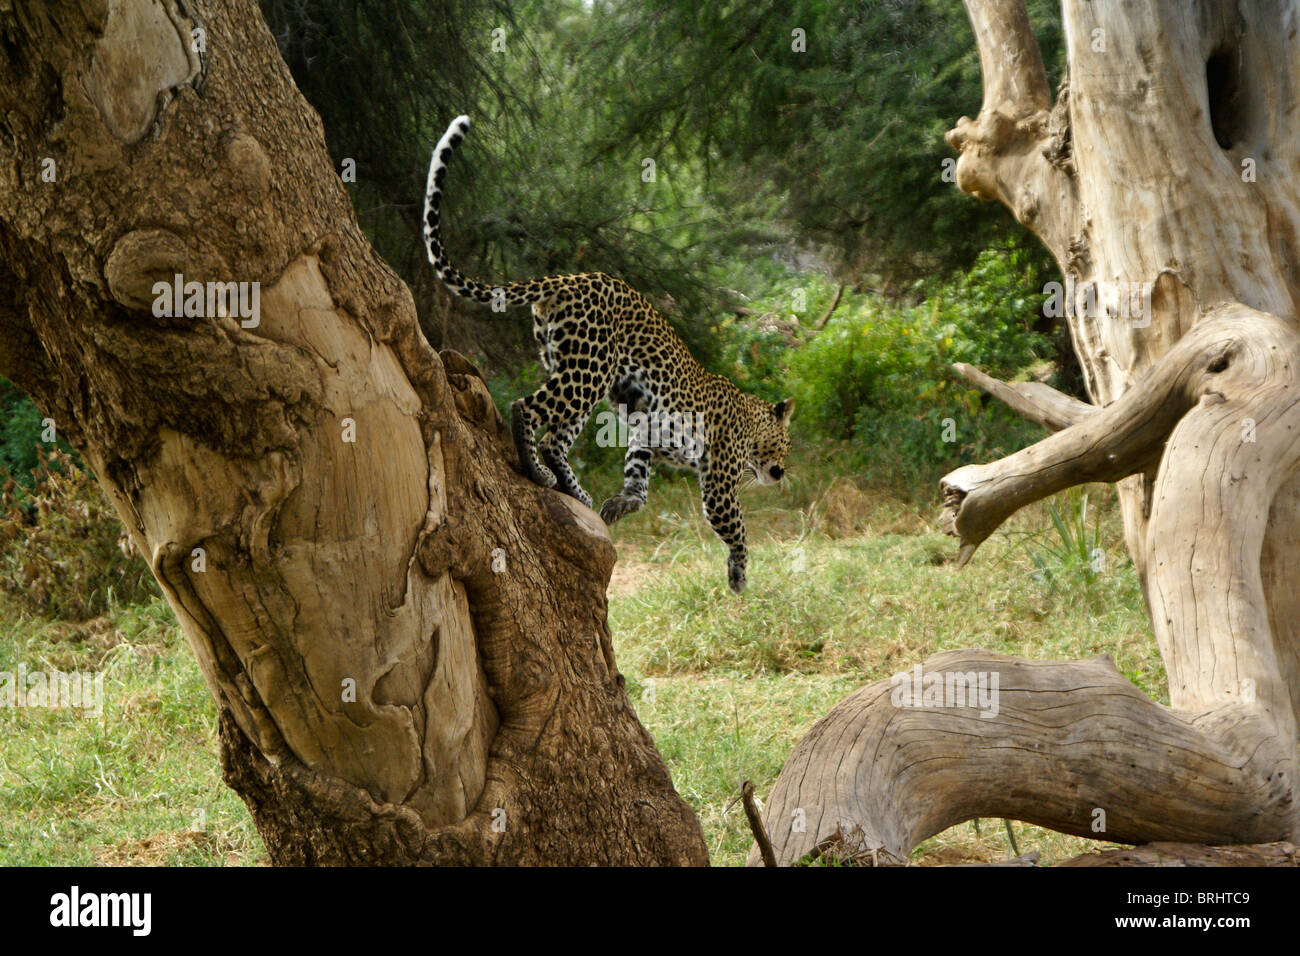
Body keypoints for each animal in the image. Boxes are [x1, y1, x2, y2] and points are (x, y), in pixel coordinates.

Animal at [422, 115, 794, 594]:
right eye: (784, 444)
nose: (780, 473)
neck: (748, 422)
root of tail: (567, 279)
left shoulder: (644, 428)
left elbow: (639, 484)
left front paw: (618, 506)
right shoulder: (719, 482)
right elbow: (738, 527)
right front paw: (740, 573)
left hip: (572, 367)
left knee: (556, 437)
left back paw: (576, 493)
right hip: (589, 371)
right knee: (527, 410)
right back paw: (538, 472)